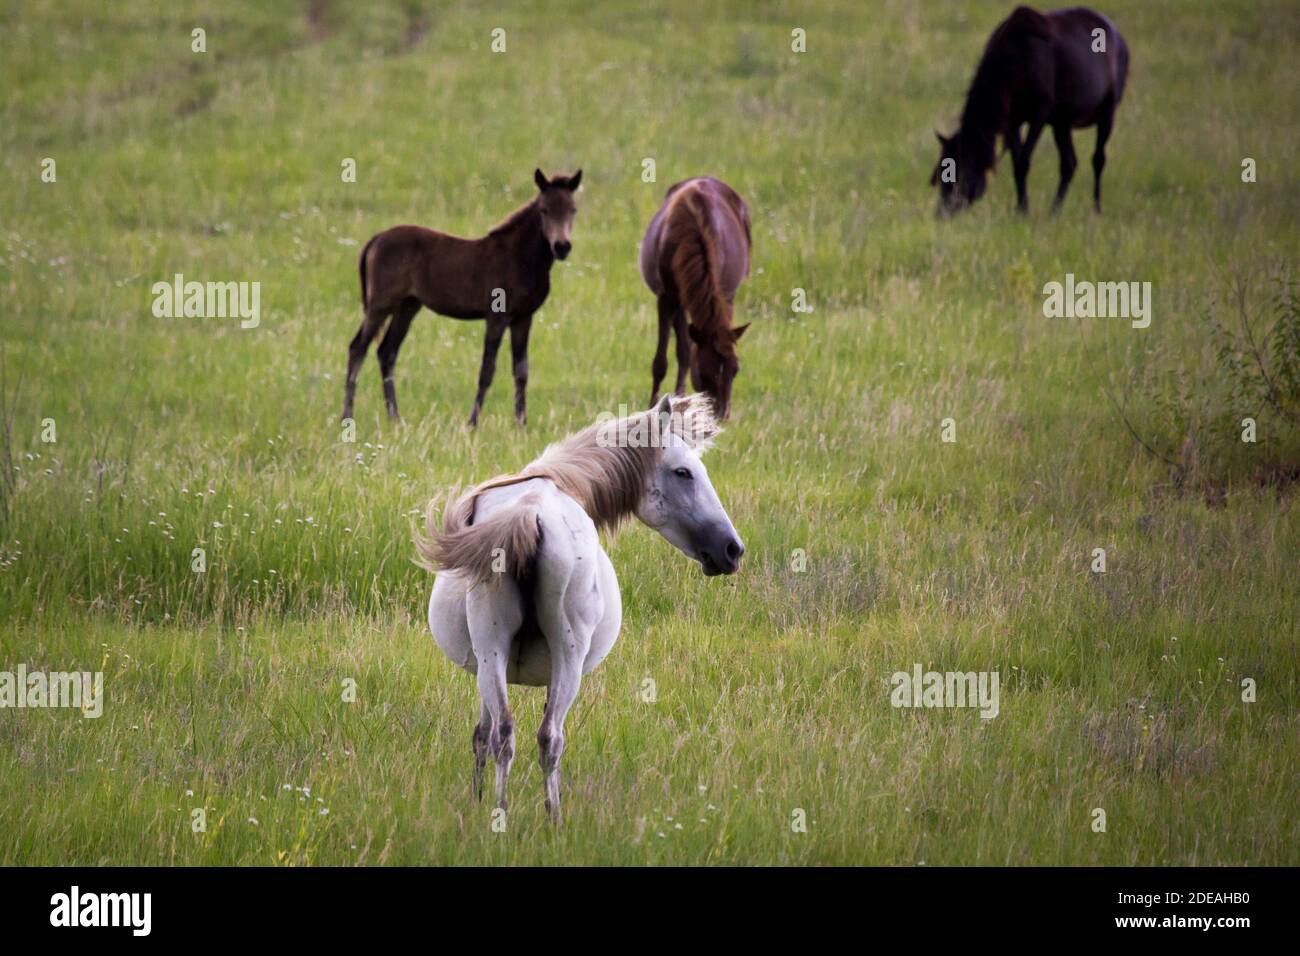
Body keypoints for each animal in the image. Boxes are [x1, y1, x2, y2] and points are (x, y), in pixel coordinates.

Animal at [341, 168, 582, 427]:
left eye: (573, 209)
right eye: (544, 210)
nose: (562, 247)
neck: (520, 258)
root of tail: (375, 239)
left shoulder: (523, 318)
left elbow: (521, 372)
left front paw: (521, 425)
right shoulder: (496, 317)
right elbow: (487, 371)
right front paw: (472, 424)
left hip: (408, 306)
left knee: (387, 352)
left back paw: (396, 419)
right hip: (380, 305)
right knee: (358, 348)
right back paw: (347, 417)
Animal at [417, 393, 744, 820]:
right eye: (683, 472)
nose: (732, 549)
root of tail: (530, 512)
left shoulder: (488, 666)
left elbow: (483, 735)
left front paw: (478, 801)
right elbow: (490, 736)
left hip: (492, 652)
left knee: (506, 733)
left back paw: (500, 814)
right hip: (567, 660)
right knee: (549, 739)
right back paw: (553, 819)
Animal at [640, 177, 752, 420]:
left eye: (736, 370)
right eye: (704, 372)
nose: (722, 415)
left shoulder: (725, 295)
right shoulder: (667, 297)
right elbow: (661, 362)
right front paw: (652, 407)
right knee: (682, 346)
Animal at [931, 6, 1129, 215]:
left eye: (956, 174)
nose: (940, 213)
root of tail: (1122, 41)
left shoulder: (1040, 112)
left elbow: (1023, 161)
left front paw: (1022, 210)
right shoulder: (1012, 120)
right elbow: (1016, 163)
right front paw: (1022, 208)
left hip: (1107, 112)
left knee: (1098, 159)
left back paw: (1096, 208)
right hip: (1062, 122)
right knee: (1069, 163)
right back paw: (1054, 211)